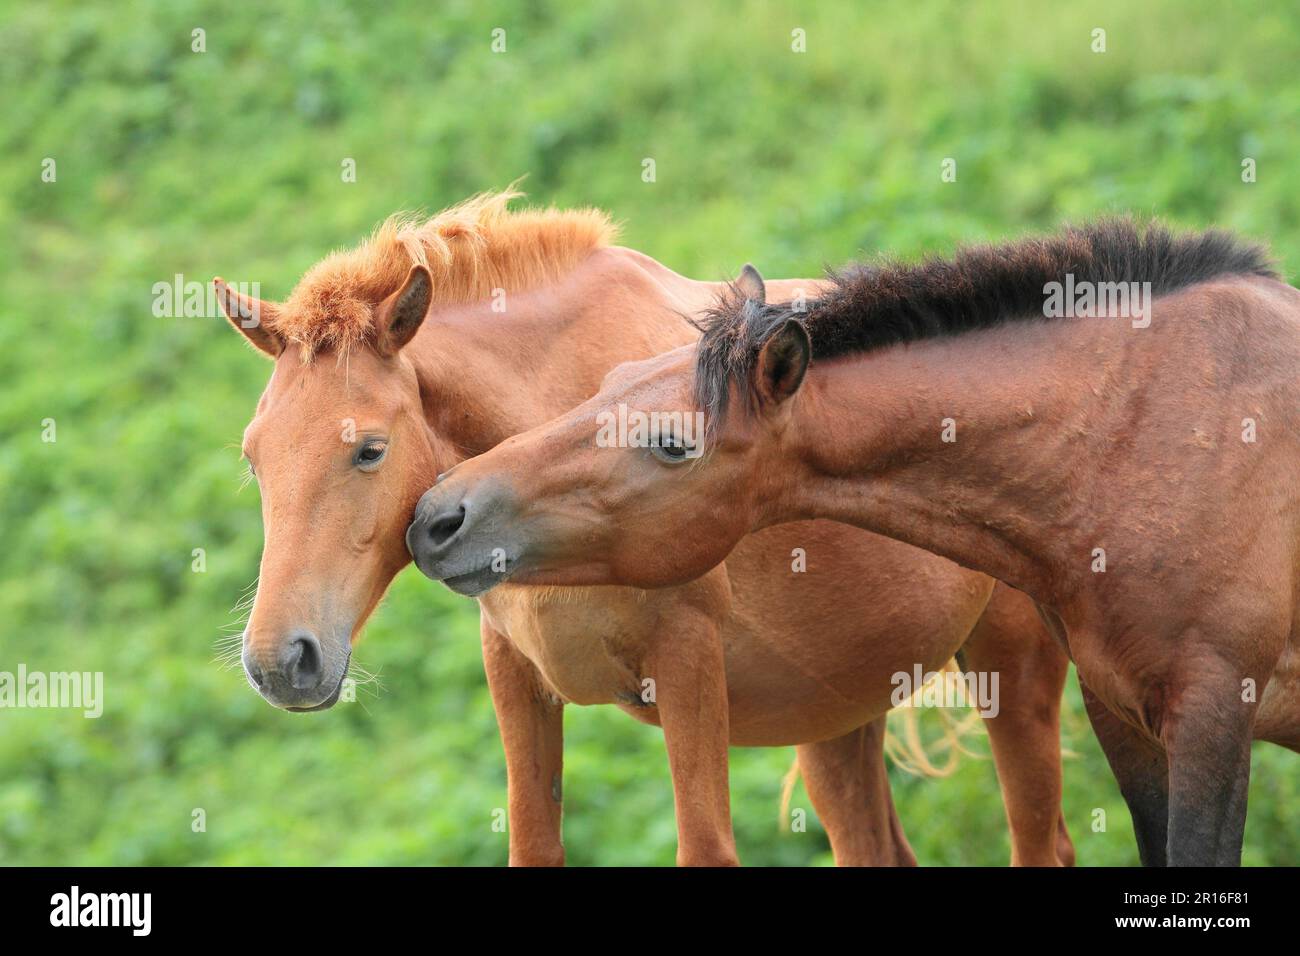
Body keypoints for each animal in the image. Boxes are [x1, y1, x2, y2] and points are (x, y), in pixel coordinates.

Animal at [218, 190, 1073, 865]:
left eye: (369, 449)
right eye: (254, 459)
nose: (280, 661)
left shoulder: (688, 666)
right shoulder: (515, 674)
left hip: (1012, 669)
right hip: (836, 719)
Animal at [408, 219, 1300, 866]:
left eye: (671, 442)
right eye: (607, 380)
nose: (439, 516)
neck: (1144, 432)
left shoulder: (1211, 721)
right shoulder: (1124, 716)